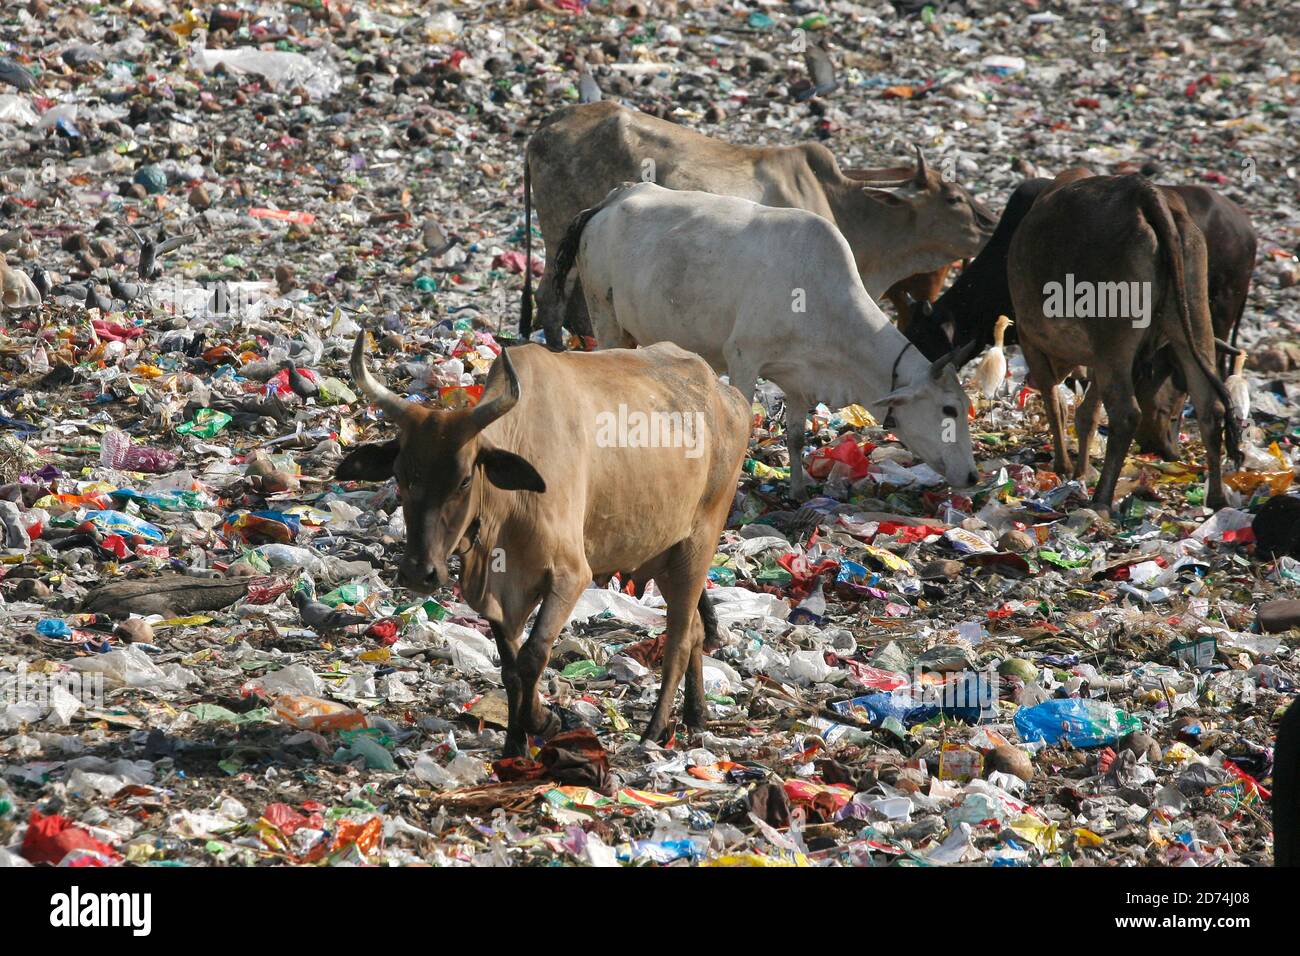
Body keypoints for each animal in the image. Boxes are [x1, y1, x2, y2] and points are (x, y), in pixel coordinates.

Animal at [336, 332, 750, 754]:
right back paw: (695, 716)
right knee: (695, 629)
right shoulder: (498, 593)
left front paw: (542, 721)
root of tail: (727, 393)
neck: (510, 501)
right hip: (665, 557)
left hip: (697, 546)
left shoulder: (570, 577)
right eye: (401, 476)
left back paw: (654, 729)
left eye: (464, 480)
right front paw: (516, 743)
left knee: (679, 640)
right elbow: (510, 668)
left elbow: (532, 657)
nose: (419, 572)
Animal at [551, 181, 980, 501]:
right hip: (604, 315)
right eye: (949, 410)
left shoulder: (799, 379)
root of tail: (613, 198)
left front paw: (797, 489)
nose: (974, 477)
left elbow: (795, 436)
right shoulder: (743, 357)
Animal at [1007, 174, 1242, 510]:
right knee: (1211, 408)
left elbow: (1056, 405)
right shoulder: (1102, 358)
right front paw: (1079, 472)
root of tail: (1145, 193)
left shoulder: (1031, 339)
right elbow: (1087, 414)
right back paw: (1218, 498)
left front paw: (1065, 466)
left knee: (1126, 414)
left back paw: (1101, 499)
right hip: (1194, 319)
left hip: (1113, 335)